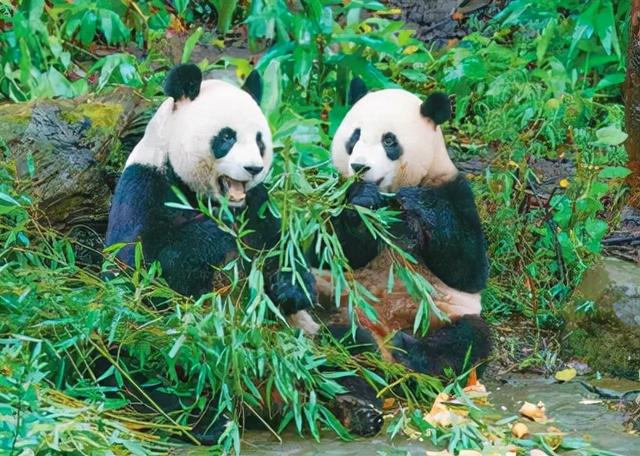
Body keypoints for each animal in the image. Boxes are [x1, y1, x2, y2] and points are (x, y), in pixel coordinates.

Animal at [104, 64, 383, 442]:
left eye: (260, 141)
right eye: (226, 137)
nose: (252, 168)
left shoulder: (258, 205)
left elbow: (293, 255)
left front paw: (291, 285)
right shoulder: (146, 186)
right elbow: (138, 264)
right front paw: (215, 236)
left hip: (310, 338)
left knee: (352, 348)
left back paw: (358, 409)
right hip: (165, 344)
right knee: (151, 366)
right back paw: (207, 423)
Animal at [313, 78, 491, 378]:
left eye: (389, 140)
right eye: (355, 137)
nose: (360, 166)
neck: (390, 196)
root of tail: (383, 327)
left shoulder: (453, 189)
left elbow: (468, 270)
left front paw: (418, 204)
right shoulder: (336, 196)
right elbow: (334, 250)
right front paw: (363, 200)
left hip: (440, 313)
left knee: (467, 339)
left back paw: (406, 350)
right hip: (339, 293)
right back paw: (350, 338)